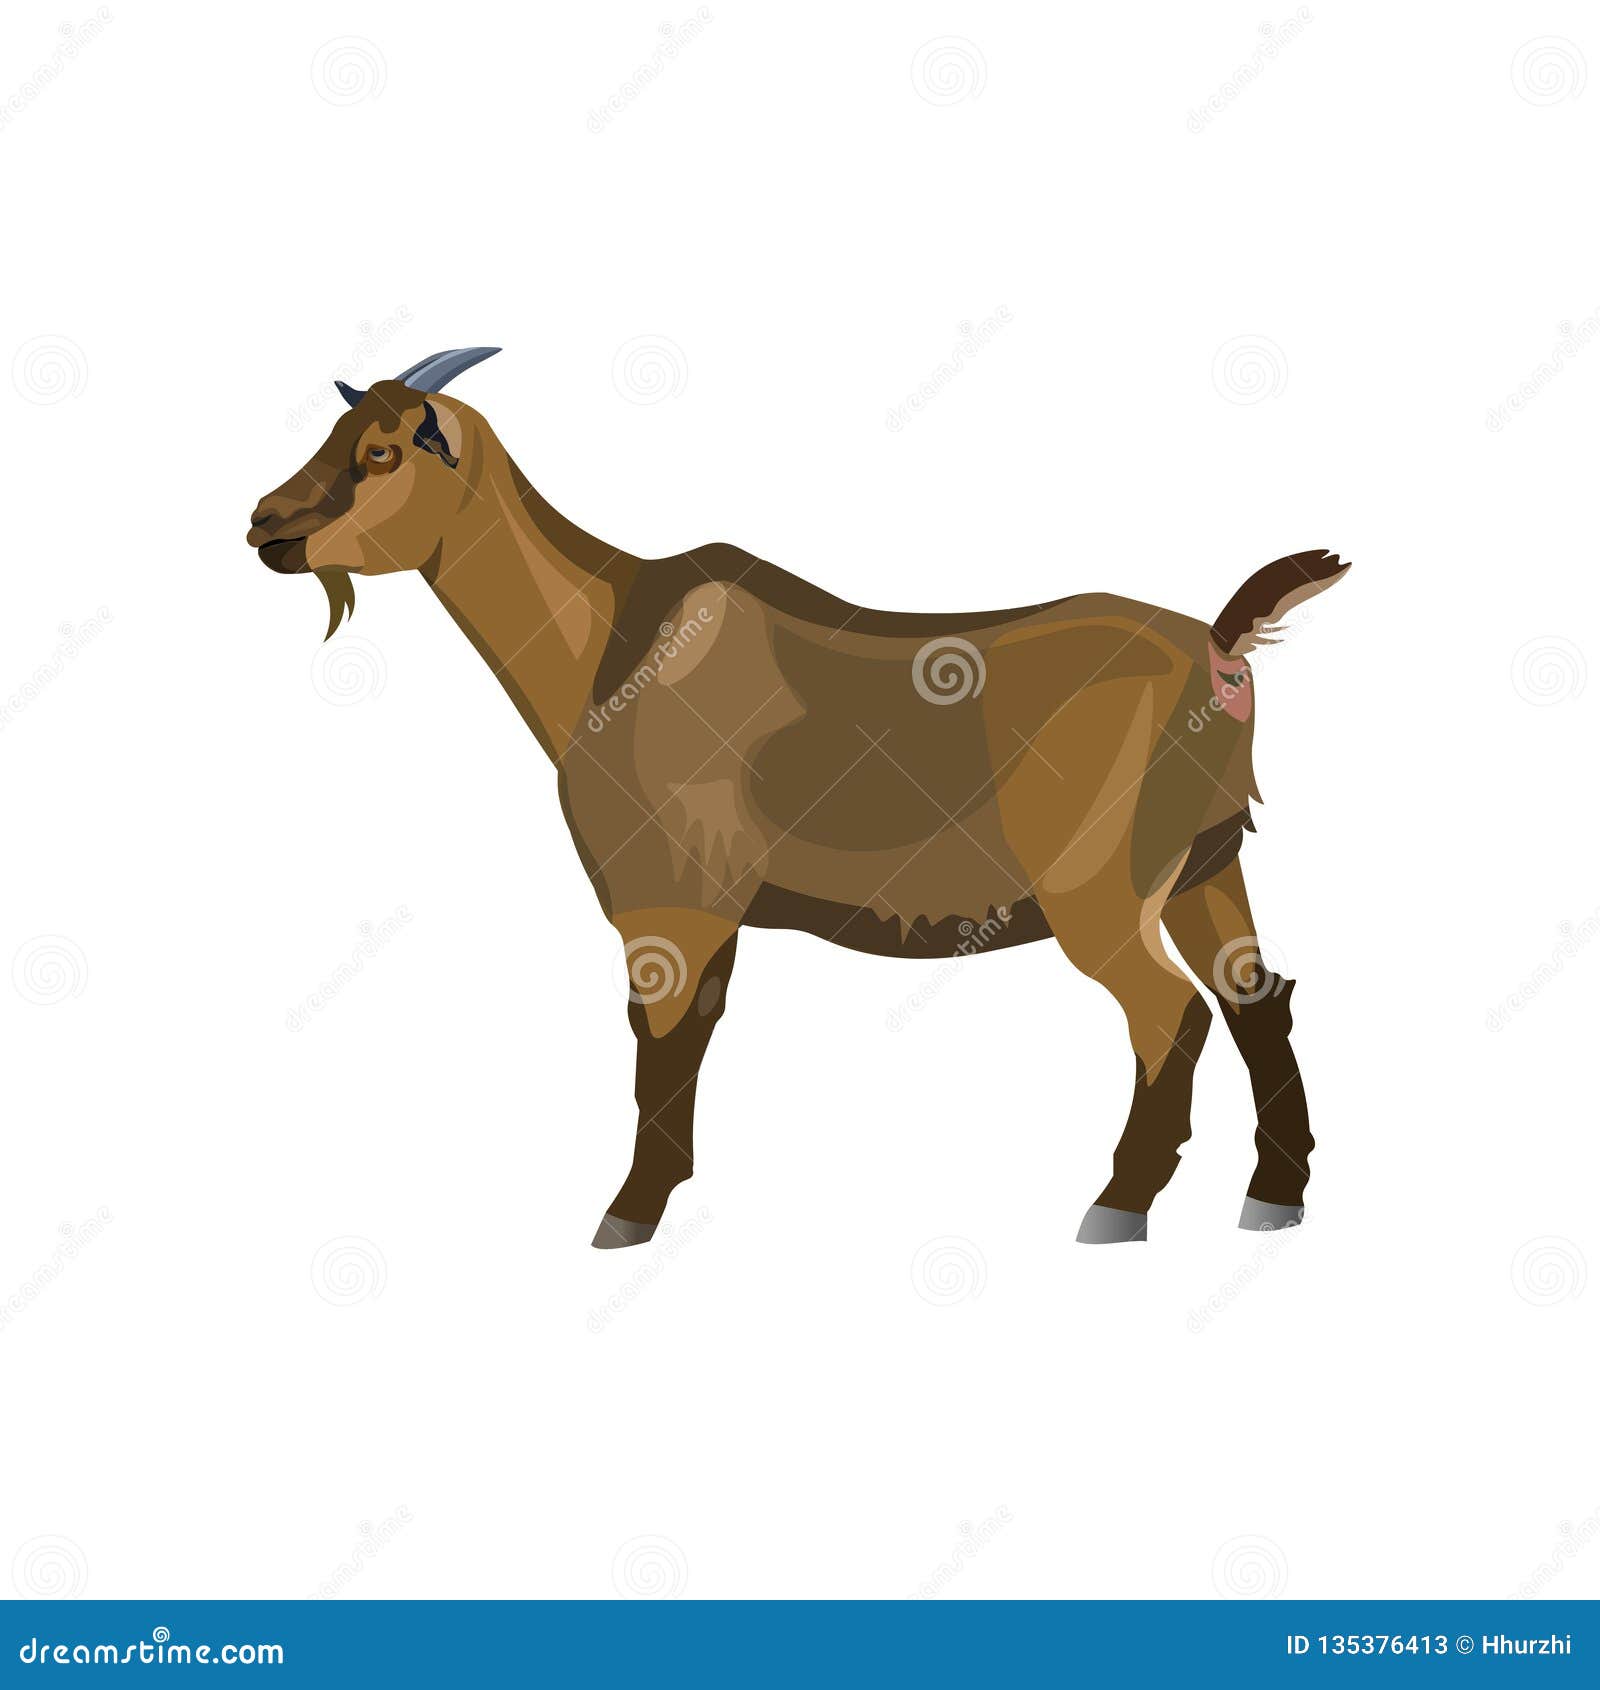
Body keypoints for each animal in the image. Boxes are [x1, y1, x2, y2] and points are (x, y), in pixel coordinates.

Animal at [247, 347, 1349, 1248]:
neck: (609, 643)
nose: (264, 524)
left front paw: (626, 1214)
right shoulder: (712, 910)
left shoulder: (668, 897)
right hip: (1206, 858)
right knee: (1258, 996)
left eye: (383, 451)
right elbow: (692, 1036)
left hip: (1105, 881)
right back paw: (1274, 1196)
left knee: (1169, 1013)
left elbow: (659, 1045)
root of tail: (1221, 649)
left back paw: (1119, 1204)